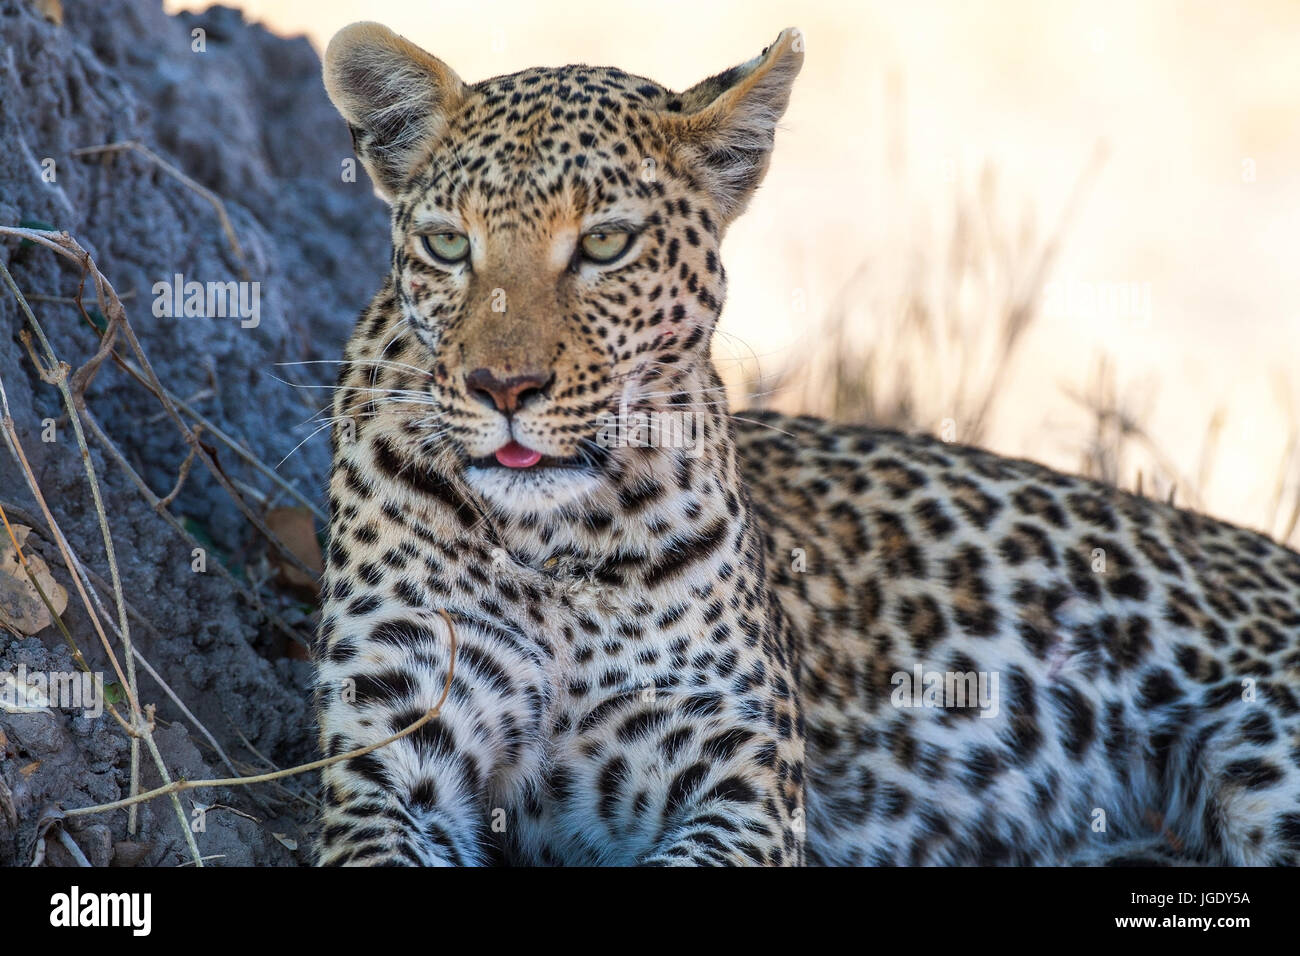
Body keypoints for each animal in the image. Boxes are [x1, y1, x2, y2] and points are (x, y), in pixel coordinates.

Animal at [311, 21, 1300, 866]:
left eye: (606, 244)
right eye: (448, 246)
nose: (502, 388)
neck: (551, 541)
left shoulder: (737, 776)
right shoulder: (391, 748)